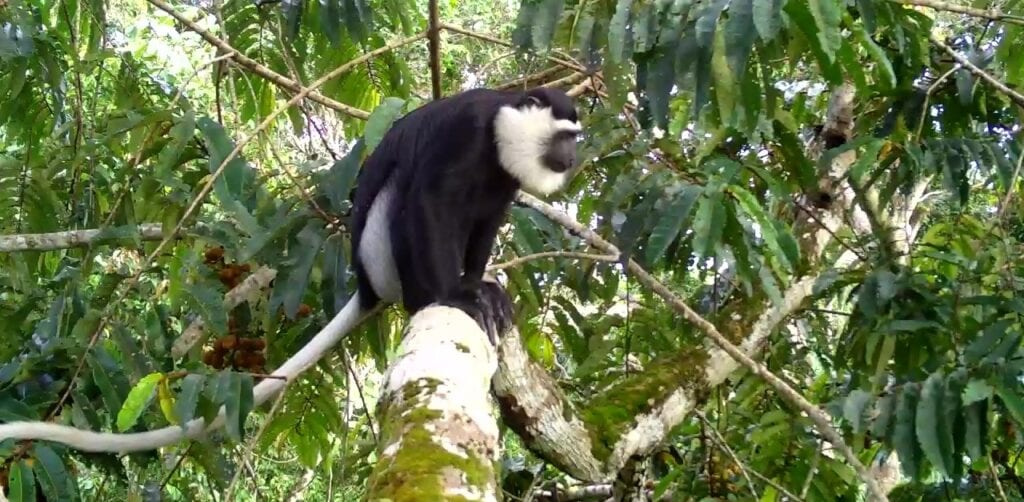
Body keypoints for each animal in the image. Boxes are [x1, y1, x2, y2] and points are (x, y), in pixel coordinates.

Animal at [0, 86, 583, 452]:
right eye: (566, 137)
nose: (574, 160)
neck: (501, 134)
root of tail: (369, 283)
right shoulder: (466, 134)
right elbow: (430, 202)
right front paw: (458, 296)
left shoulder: (501, 178)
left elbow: (487, 220)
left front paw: (480, 287)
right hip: (383, 251)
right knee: (408, 198)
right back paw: (429, 295)